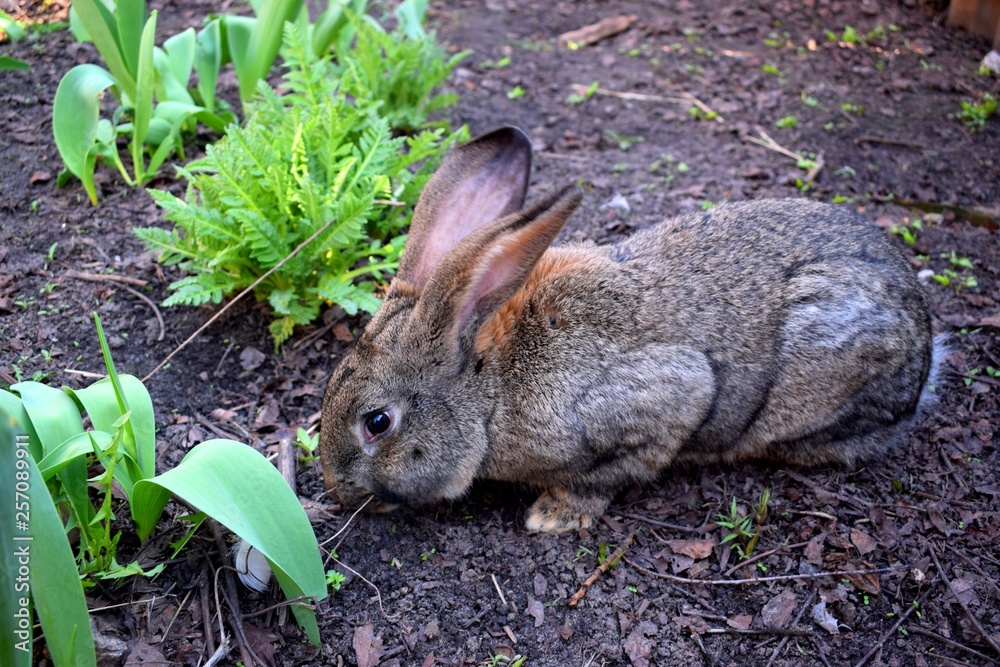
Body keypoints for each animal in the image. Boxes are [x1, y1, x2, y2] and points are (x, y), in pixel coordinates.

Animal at [319, 126, 941, 533]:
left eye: (377, 423)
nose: (336, 490)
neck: (488, 390)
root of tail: (926, 356)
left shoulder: (661, 400)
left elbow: (610, 473)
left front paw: (554, 516)